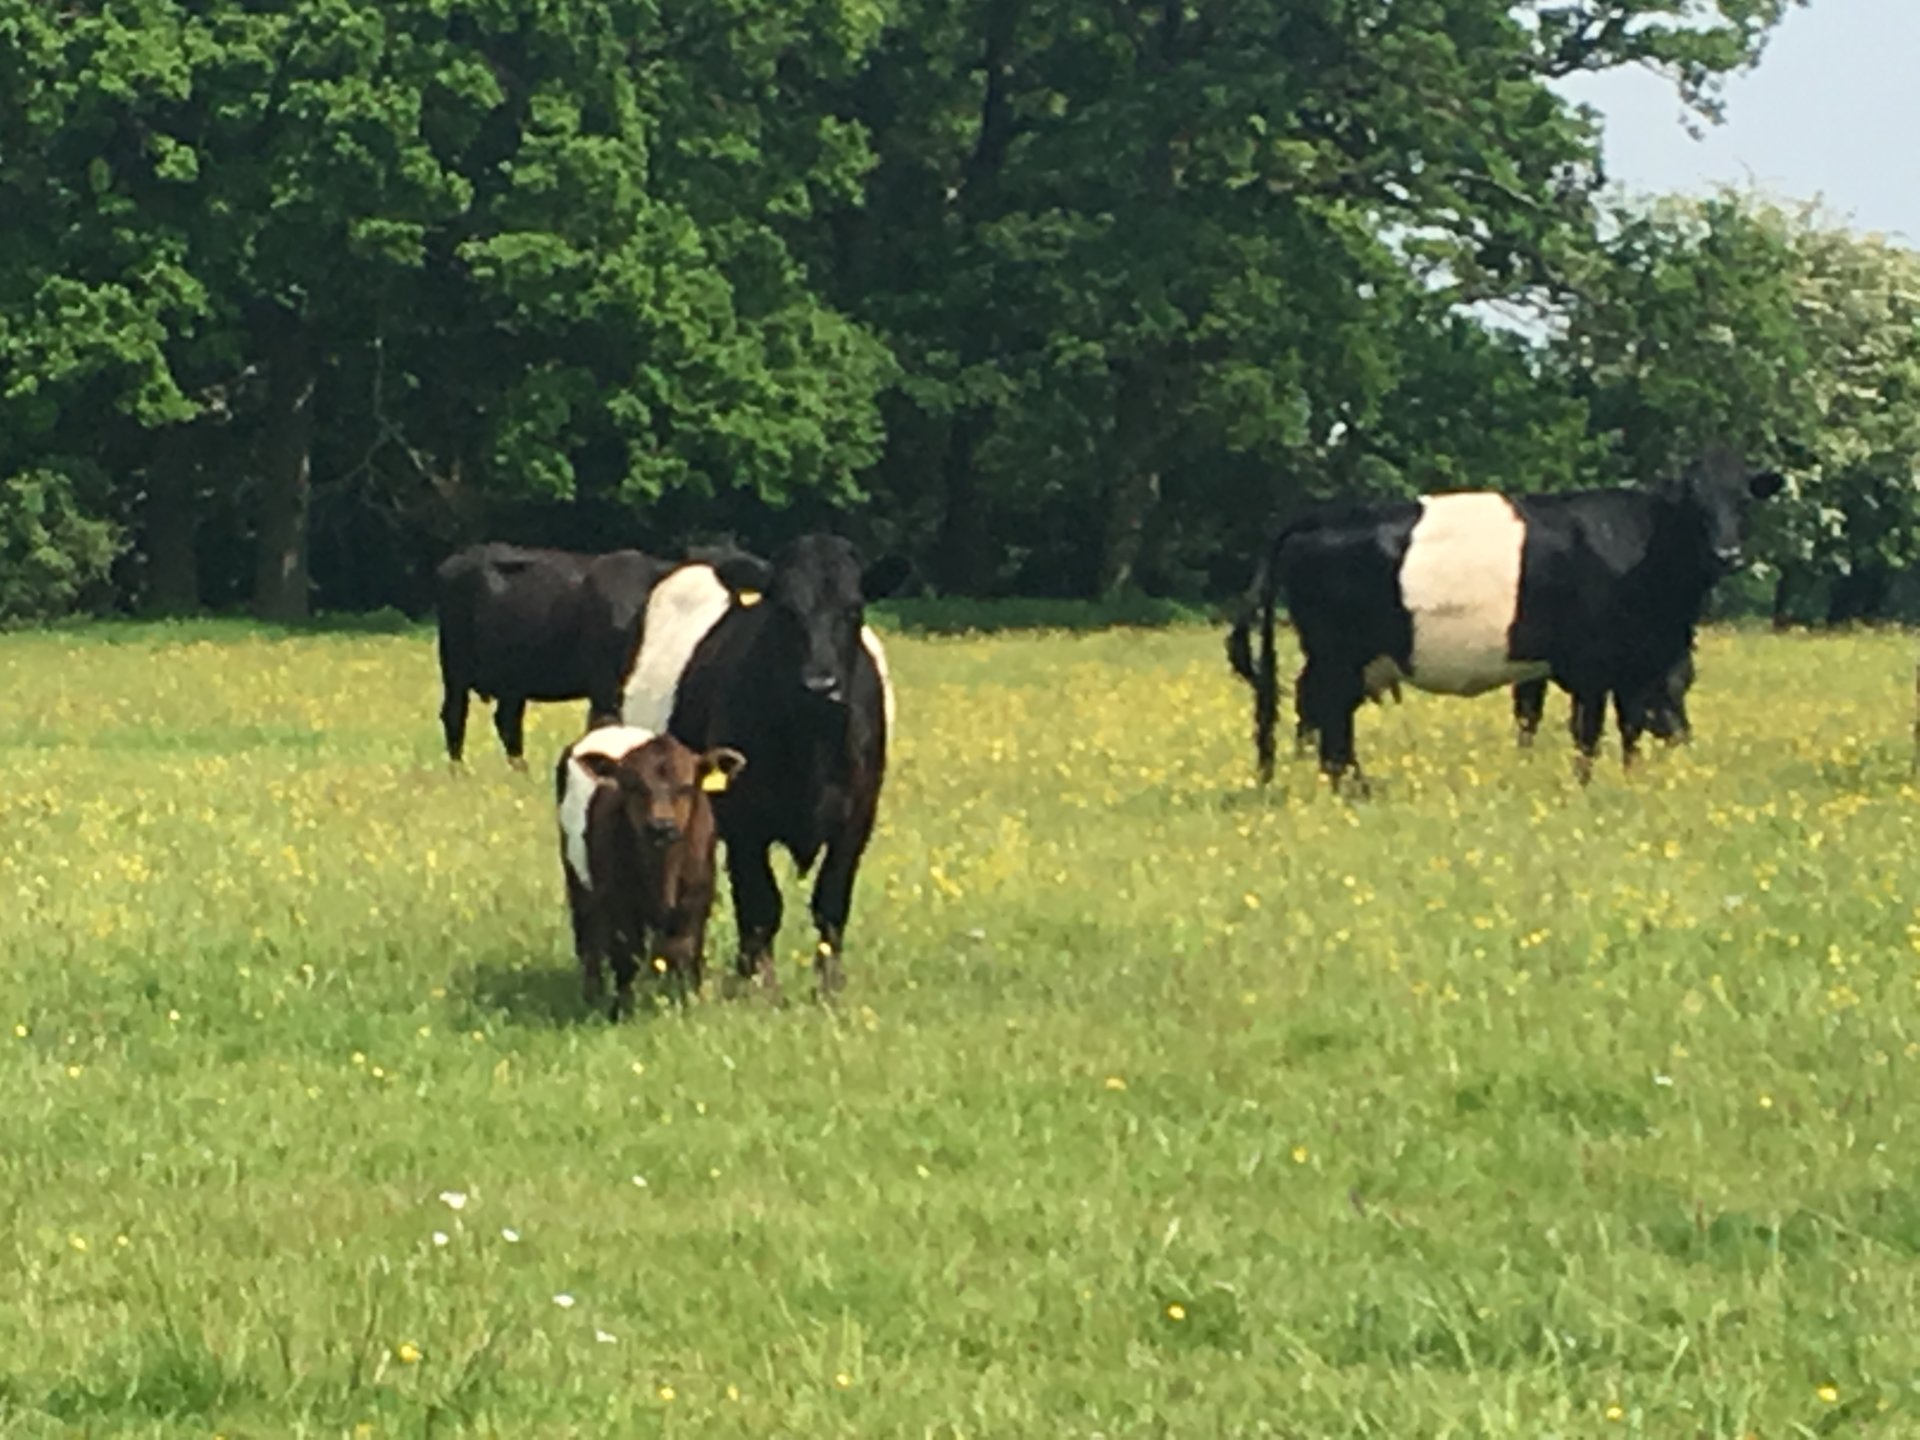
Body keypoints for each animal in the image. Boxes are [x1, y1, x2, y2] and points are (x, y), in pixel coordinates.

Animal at [435, 544, 672, 767]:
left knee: (507, 720)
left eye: (644, 600)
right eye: (602, 600)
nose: (619, 624)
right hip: (455, 668)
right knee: (455, 715)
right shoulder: (604, 687)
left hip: (512, 680)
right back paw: (460, 771)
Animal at [555, 724, 746, 1014]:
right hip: (578, 883)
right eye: (633, 786)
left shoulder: (696, 901)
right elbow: (626, 953)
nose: (661, 826)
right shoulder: (618, 903)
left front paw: (686, 1002)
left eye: (687, 786)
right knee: (589, 942)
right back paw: (592, 994)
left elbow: (684, 950)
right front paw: (622, 1009)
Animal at [613, 534, 905, 997]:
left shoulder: (858, 816)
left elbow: (831, 901)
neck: (811, 744)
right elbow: (760, 901)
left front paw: (829, 985)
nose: (821, 685)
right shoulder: (744, 819)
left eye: (854, 609)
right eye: (784, 610)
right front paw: (760, 982)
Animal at [1227, 453, 1782, 789]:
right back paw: (1353, 788)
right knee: (1325, 713)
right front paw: (1585, 787)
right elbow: (1589, 731)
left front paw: (1630, 781)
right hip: (1338, 656)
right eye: (1692, 504)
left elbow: (1626, 729)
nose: (1728, 554)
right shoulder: (1594, 666)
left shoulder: (1633, 667)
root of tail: (1316, 517)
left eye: (1742, 501)